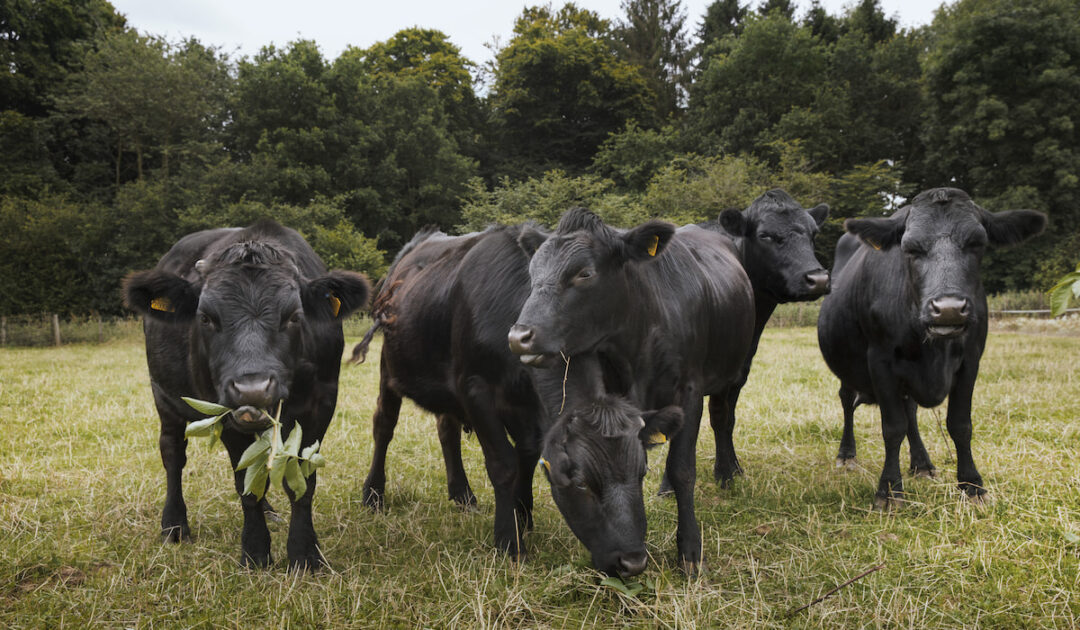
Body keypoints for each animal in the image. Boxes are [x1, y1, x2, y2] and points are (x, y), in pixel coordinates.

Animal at [123, 220, 370, 570]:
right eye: (205, 317)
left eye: (294, 316)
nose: (252, 389)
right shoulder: (223, 412)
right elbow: (245, 486)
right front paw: (255, 551)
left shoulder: (322, 403)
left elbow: (301, 483)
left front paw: (305, 554)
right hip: (164, 397)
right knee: (172, 454)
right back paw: (174, 525)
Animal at [355, 224, 681, 577]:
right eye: (581, 483)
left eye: (642, 473)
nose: (632, 562)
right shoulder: (475, 388)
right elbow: (504, 464)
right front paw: (510, 542)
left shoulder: (527, 406)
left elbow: (527, 456)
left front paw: (523, 517)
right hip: (389, 366)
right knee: (384, 425)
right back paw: (373, 495)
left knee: (446, 429)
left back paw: (462, 495)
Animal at [509, 208, 755, 573]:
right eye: (532, 272)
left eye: (584, 273)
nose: (519, 336)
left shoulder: (690, 390)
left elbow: (683, 468)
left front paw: (690, 551)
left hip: (735, 371)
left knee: (723, 419)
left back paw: (727, 474)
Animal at [817, 188, 1046, 508]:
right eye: (910, 248)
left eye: (977, 243)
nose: (948, 309)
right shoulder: (880, 361)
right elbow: (892, 427)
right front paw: (889, 491)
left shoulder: (971, 361)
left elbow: (959, 424)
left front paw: (972, 485)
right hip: (847, 367)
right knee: (848, 401)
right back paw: (847, 454)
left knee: (910, 411)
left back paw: (921, 463)